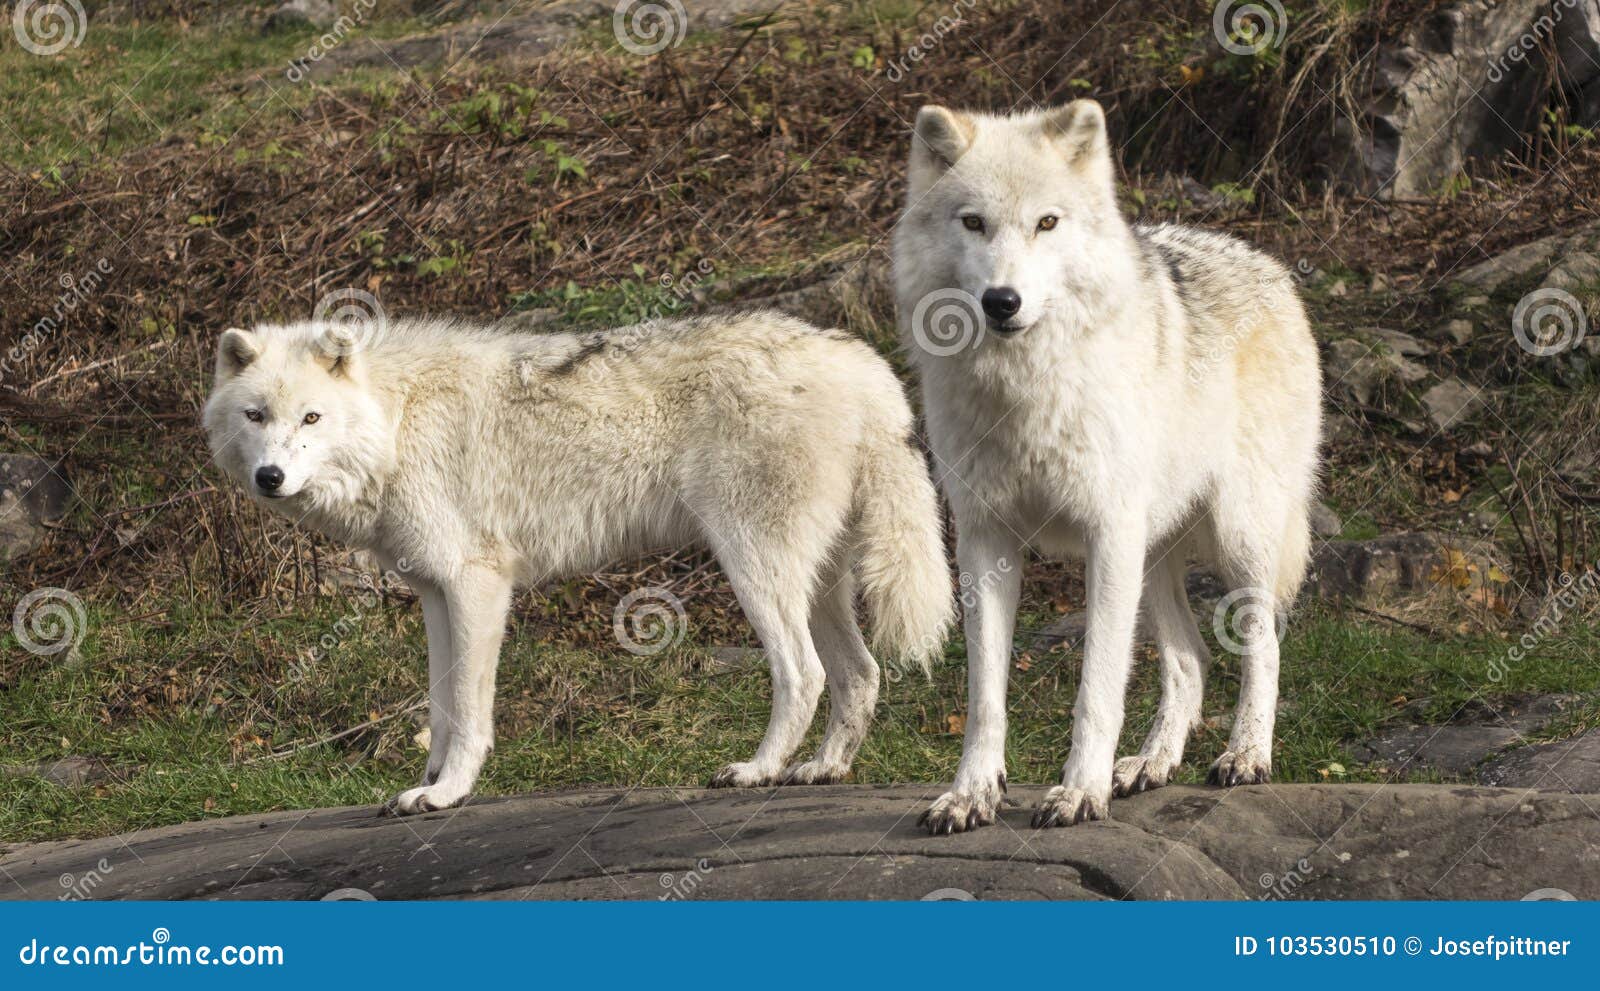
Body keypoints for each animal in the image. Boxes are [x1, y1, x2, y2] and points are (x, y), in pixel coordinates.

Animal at [203, 313, 952, 814]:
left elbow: (469, 710)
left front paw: (450, 794)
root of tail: (864, 364)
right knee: (861, 673)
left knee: (805, 674)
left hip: (754, 566)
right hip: (817, 583)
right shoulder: (435, 594)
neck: (396, 419)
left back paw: (758, 770)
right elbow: (441, 711)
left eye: (311, 418)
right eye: (255, 415)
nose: (270, 477)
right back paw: (823, 769)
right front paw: (425, 784)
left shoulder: (478, 585)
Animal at [894, 99, 1322, 833]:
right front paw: (972, 794)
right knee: (1190, 659)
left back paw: (1245, 756)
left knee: (1263, 644)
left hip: (1237, 537)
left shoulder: (1107, 534)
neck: (1025, 388)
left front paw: (1078, 792)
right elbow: (985, 697)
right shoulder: (984, 539)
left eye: (1047, 222)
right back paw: (1150, 764)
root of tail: (1267, 264)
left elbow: (1096, 688)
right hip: (1153, 557)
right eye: (973, 222)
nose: (1002, 300)